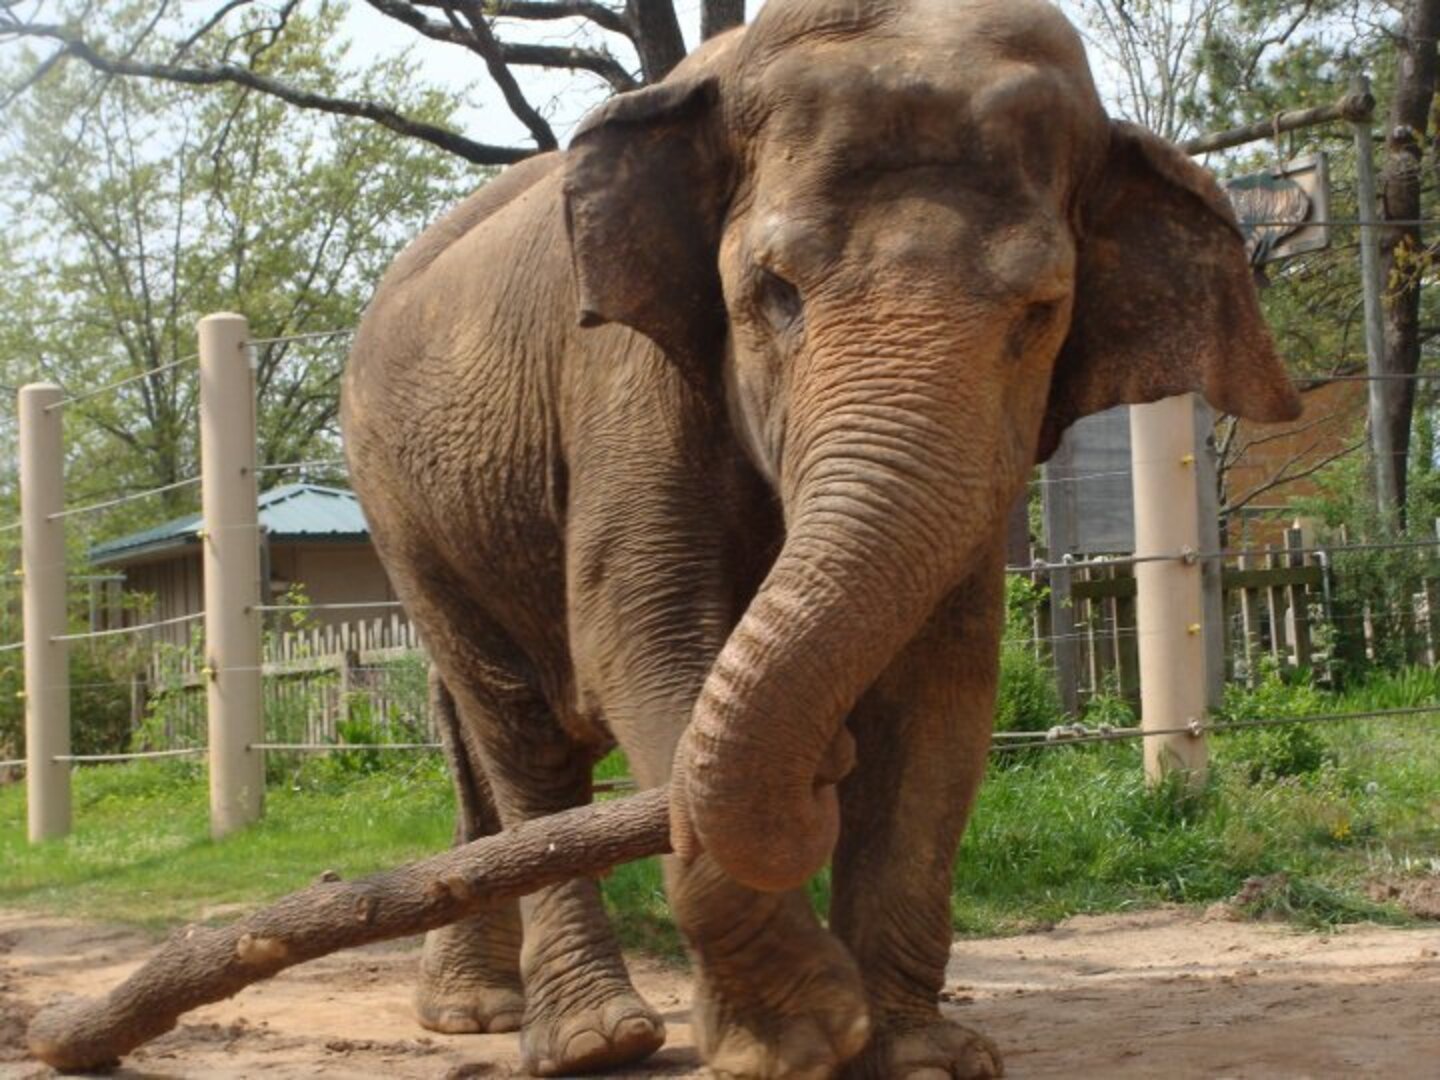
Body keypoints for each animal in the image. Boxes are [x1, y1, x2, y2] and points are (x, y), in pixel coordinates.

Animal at [340, 0, 1300, 1076]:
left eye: (1043, 311)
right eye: (774, 291)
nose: (822, 762)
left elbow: (941, 685)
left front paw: (916, 1055)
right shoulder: (628, 379)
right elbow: (646, 633)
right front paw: (801, 1039)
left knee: (478, 729)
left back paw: (478, 1012)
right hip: (401, 504)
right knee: (522, 734)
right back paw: (593, 1040)